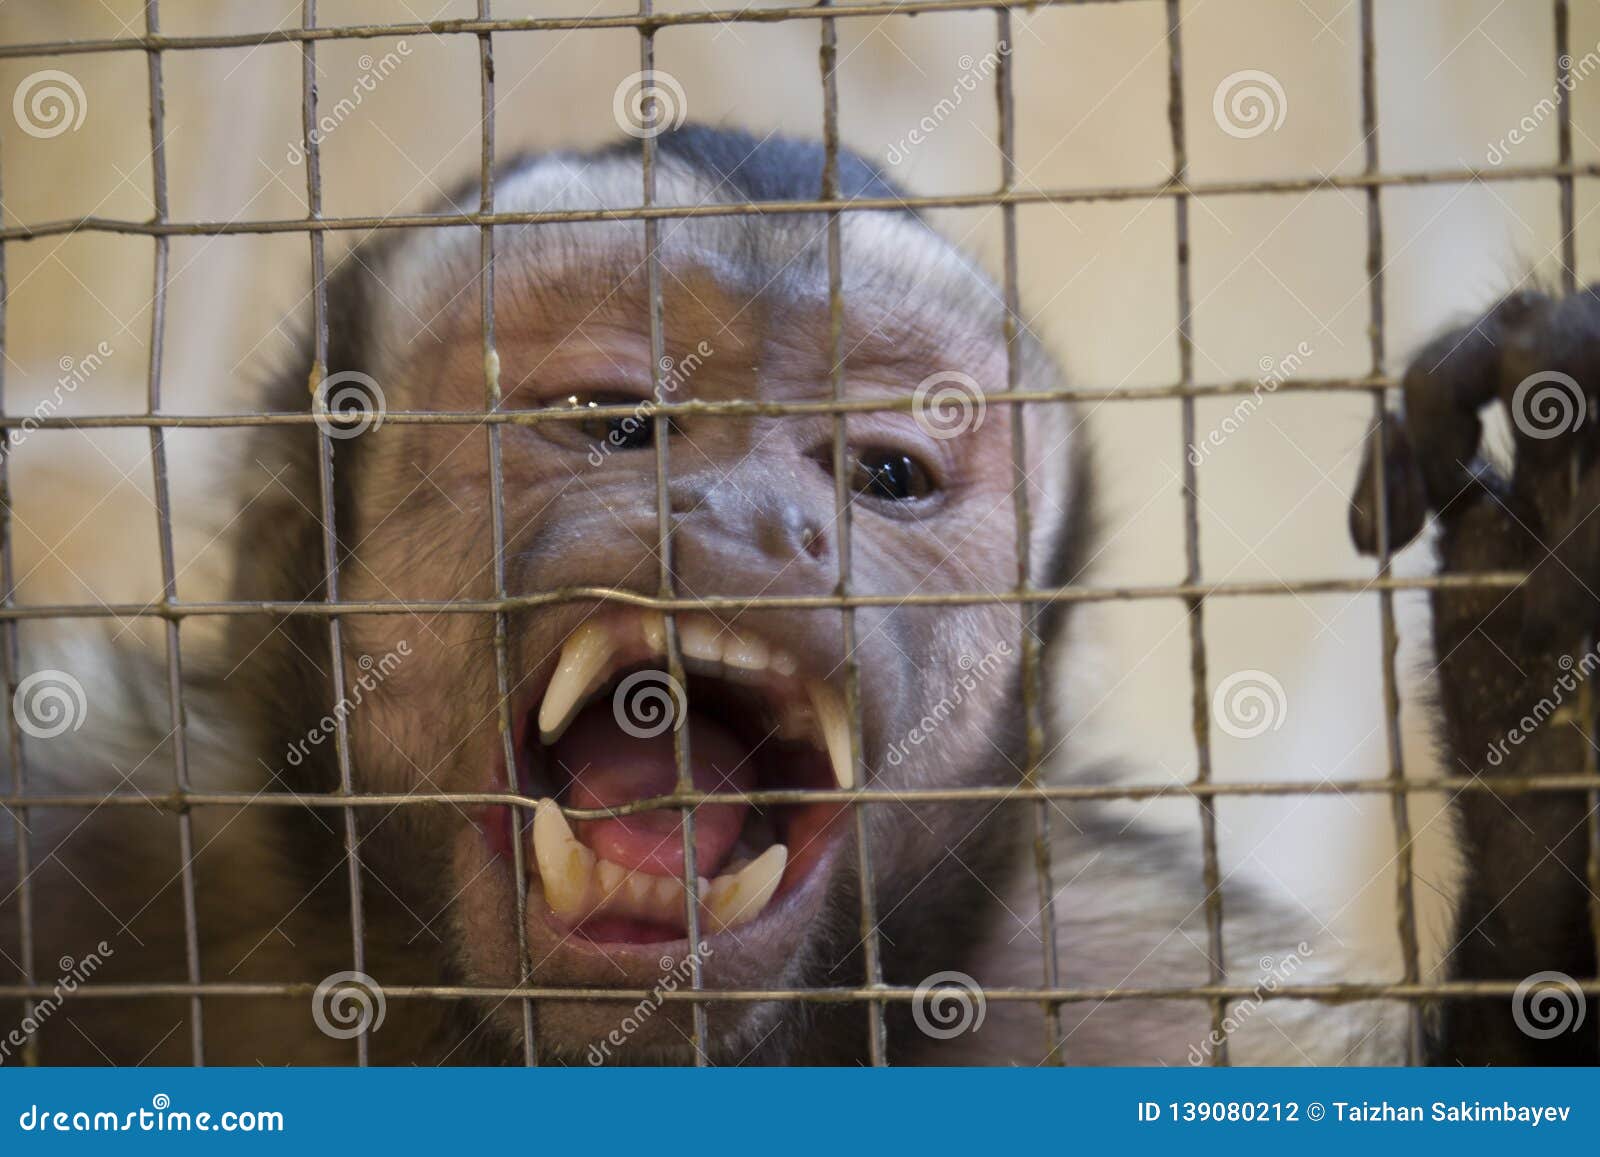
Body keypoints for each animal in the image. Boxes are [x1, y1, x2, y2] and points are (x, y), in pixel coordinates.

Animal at [0, 125, 1589, 1065]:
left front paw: (1554, 675)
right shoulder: (91, 843)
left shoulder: (1126, 990)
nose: (762, 521)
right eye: (613, 418)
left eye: (885, 475)